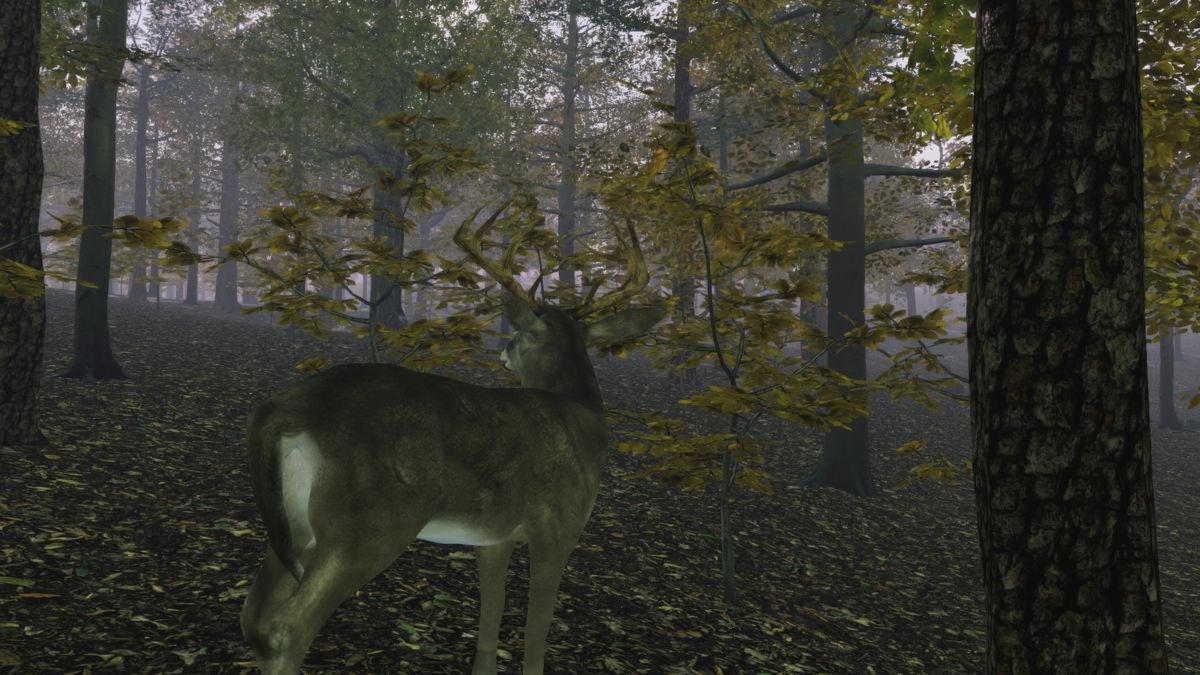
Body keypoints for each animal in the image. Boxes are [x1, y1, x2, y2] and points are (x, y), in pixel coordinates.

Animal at [238, 204, 665, 674]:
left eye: (523, 334)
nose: (504, 351)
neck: (582, 416)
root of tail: (283, 408)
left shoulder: (493, 537)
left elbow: (491, 619)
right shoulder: (559, 527)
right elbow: (536, 635)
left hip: (295, 521)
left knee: (253, 618)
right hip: (367, 523)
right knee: (287, 626)